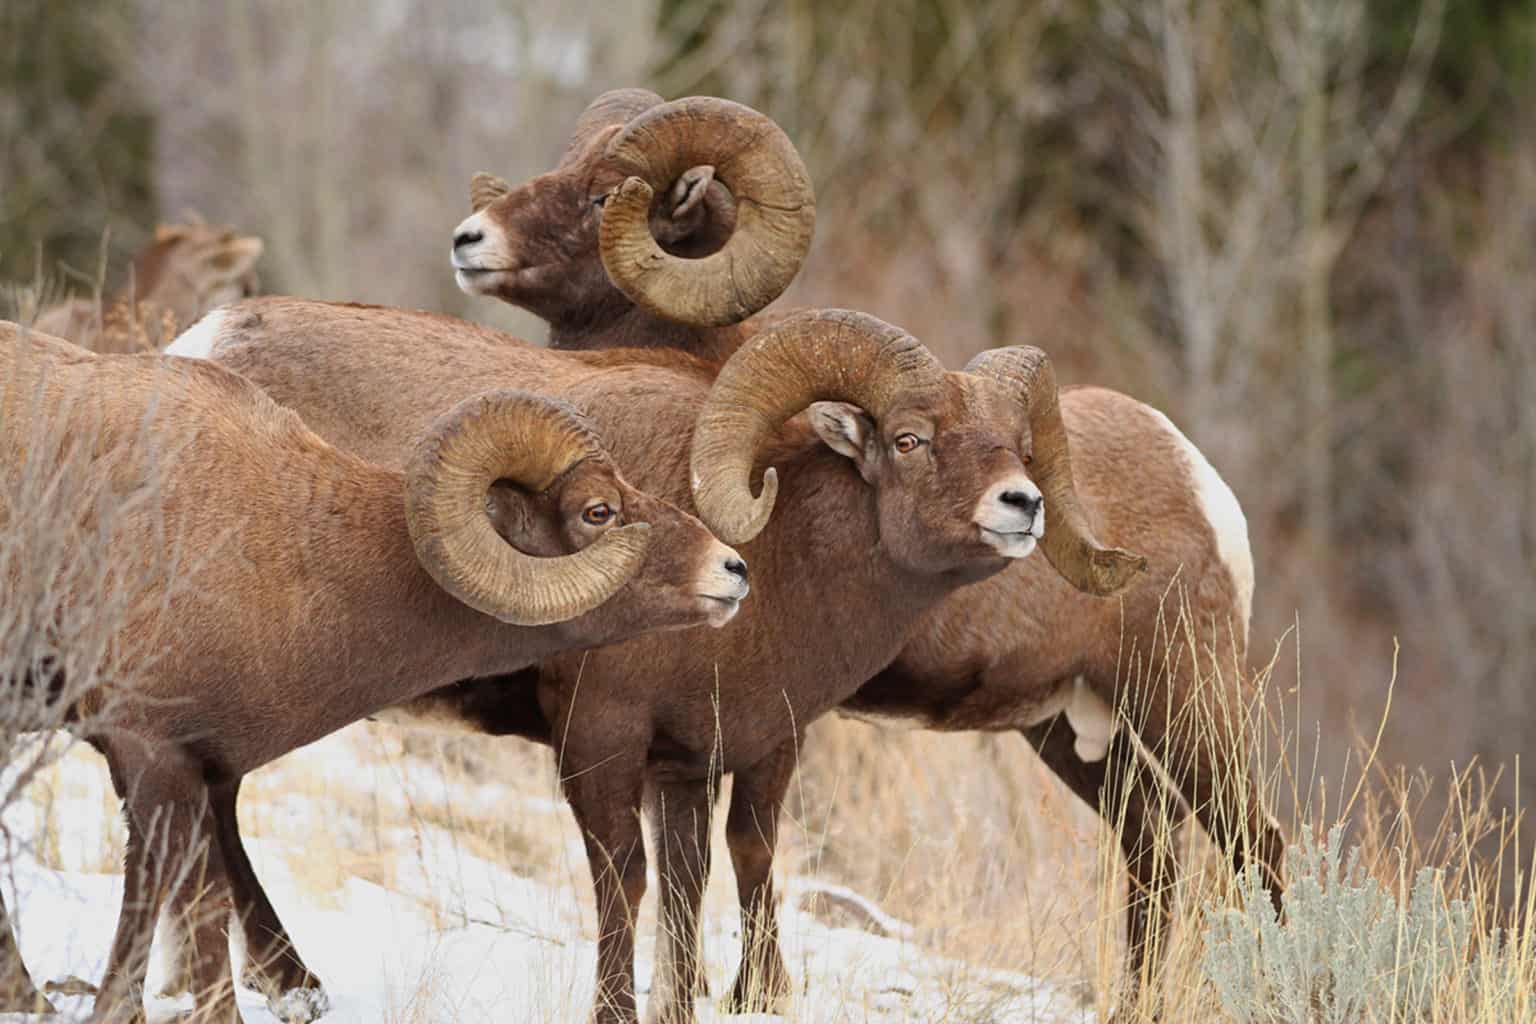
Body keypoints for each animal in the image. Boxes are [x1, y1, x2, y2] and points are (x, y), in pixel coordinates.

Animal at [0, 321, 748, 1023]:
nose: (733, 569)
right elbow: (172, 901)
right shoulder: (153, 755)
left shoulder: (188, 770)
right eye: (599, 511)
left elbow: (175, 898)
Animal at [171, 296, 1144, 1024]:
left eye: (1020, 448)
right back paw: (287, 984)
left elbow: (715, 874)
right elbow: (626, 883)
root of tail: (199, 343)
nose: (1020, 505)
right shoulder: (602, 742)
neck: (783, 571)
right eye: (909, 438)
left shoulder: (719, 756)